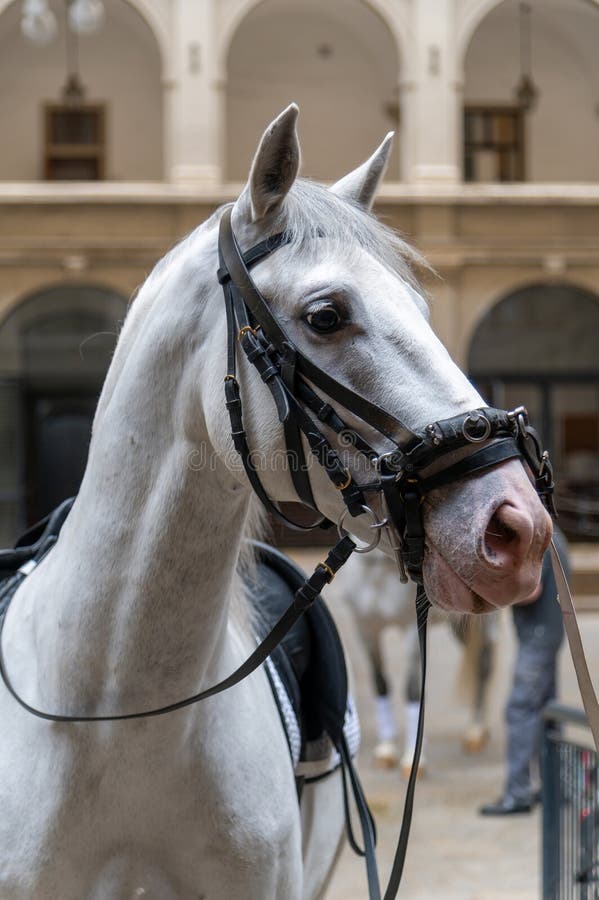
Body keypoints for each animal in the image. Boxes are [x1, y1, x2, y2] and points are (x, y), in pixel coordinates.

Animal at [341, 550, 498, 773]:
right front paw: (386, 750)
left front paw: (411, 760)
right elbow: (380, 683)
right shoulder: (366, 630)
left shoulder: (411, 630)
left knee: (484, 667)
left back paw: (474, 732)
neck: (379, 573)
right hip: (460, 624)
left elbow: (412, 690)